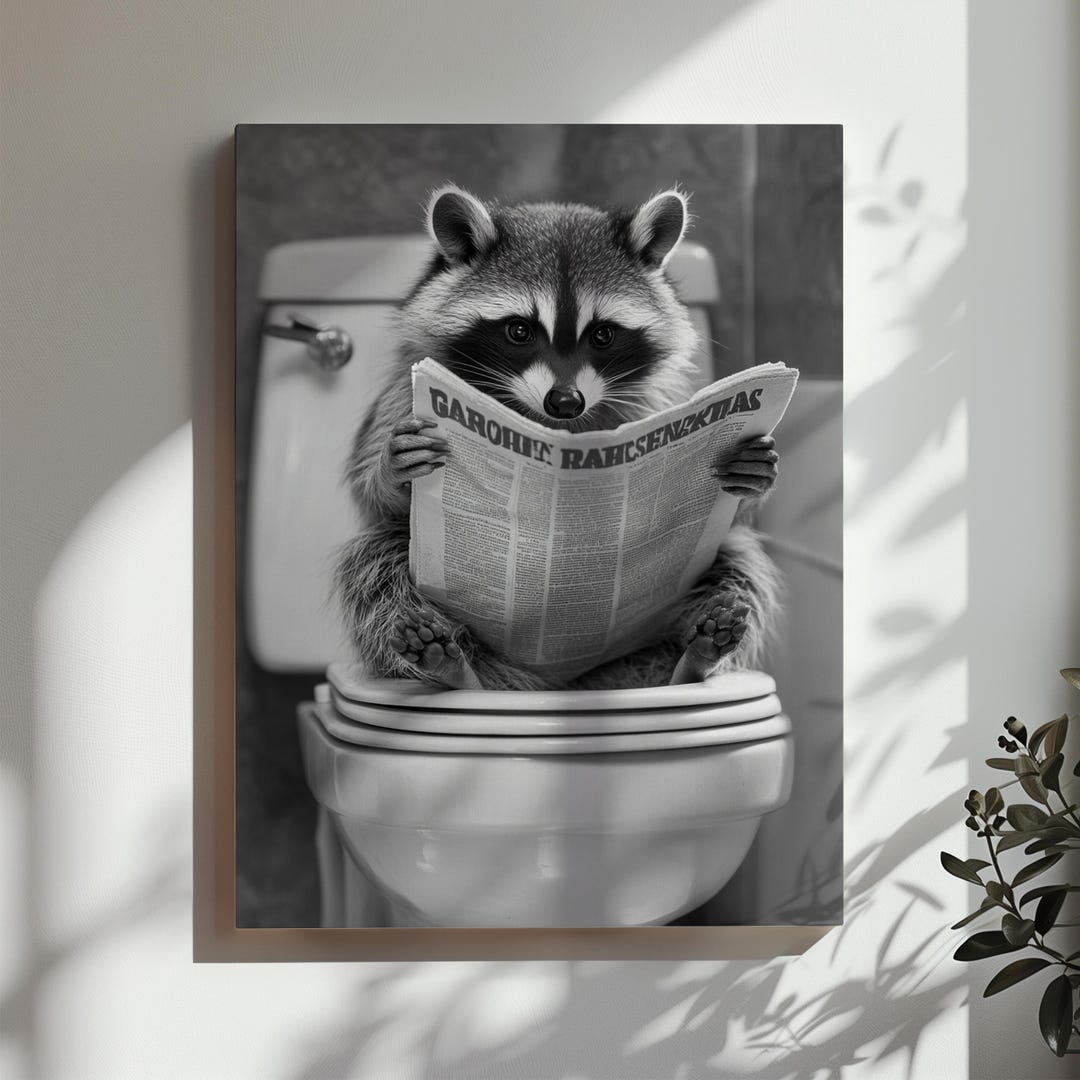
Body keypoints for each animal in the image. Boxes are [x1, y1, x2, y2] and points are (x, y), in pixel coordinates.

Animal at [335, 185, 781, 691]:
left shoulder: (654, 402)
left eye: (603, 334)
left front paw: (752, 476)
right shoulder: (404, 391)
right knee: (375, 561)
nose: (565, 402)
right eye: (519, 330)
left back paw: (695, 656)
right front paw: (391, 468)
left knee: (738, 559)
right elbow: (372, 497)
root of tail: (556, 682)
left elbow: (735, 521)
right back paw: (451, 668)